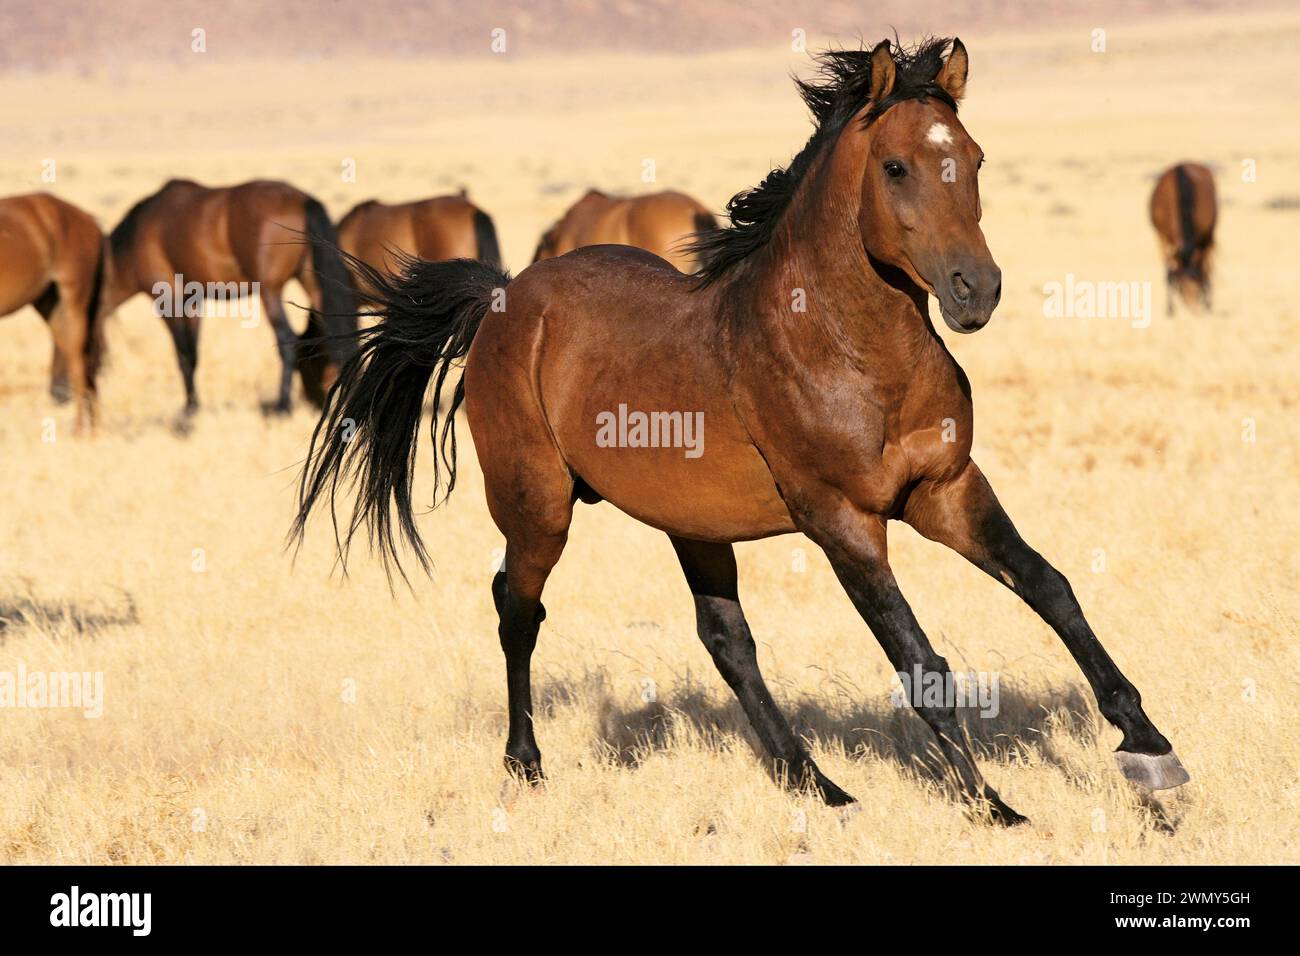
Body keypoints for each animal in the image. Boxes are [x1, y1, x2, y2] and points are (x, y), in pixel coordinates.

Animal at [0, 192, 106, 433]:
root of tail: (88, 219)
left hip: (74, 302)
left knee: (79, 363)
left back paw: (80, 432)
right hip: (51, 307)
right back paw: (94, 429)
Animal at [103, 179, 357, 414]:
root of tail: (302, 200)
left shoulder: (168, 301)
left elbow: (183, 356)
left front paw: (188, 412)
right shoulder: (191, 302)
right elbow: (193, 355)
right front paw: (194, 407)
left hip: (270, 291)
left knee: (287, 339)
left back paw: (282, 406)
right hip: (313, 283)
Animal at [1150, 162, 1217, 313]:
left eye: (1197, 282)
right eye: (1180, 286)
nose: (1194, 309)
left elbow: (1204, 268)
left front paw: (1207, 304)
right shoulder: (1162, 237)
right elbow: (1168, 270)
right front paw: (1169, 309)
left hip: (1209, 235)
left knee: (1208, 265)